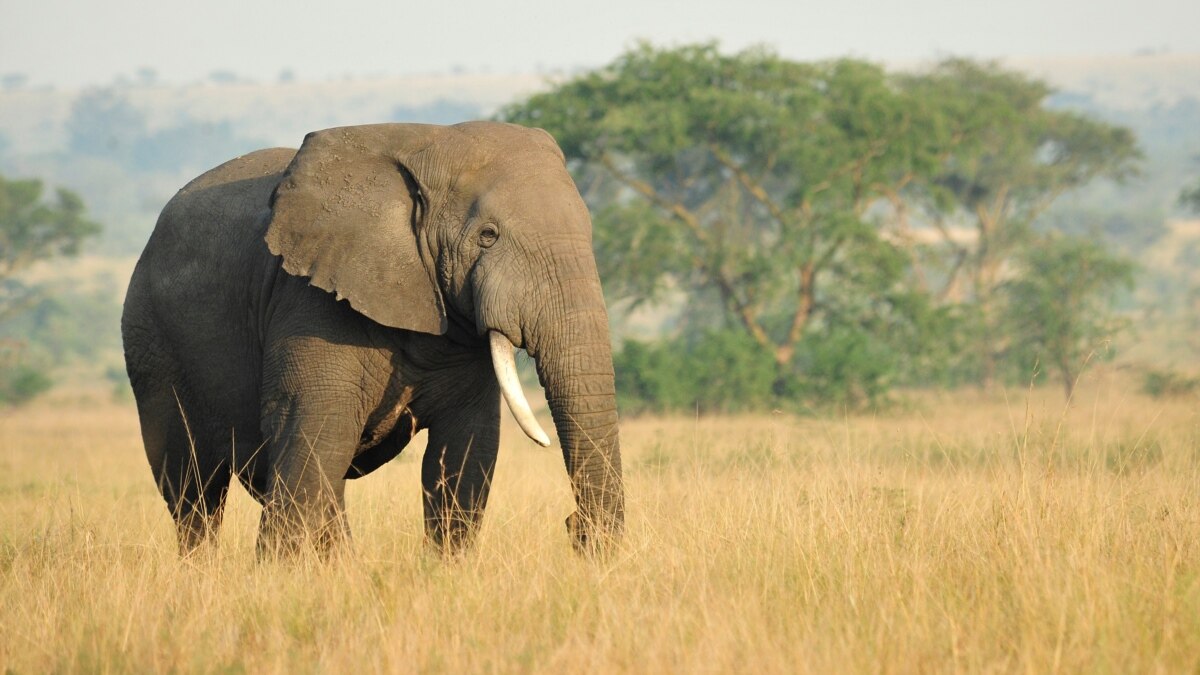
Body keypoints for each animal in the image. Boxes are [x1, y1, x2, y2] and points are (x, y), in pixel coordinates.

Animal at [121, 121, 624, 557]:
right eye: (488, 235)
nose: (575, 528)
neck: (427, 146)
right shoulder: (309, 299)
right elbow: (311, 433)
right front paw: (277, 581)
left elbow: (464, 453)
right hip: (153, 341)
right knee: (195, 490)